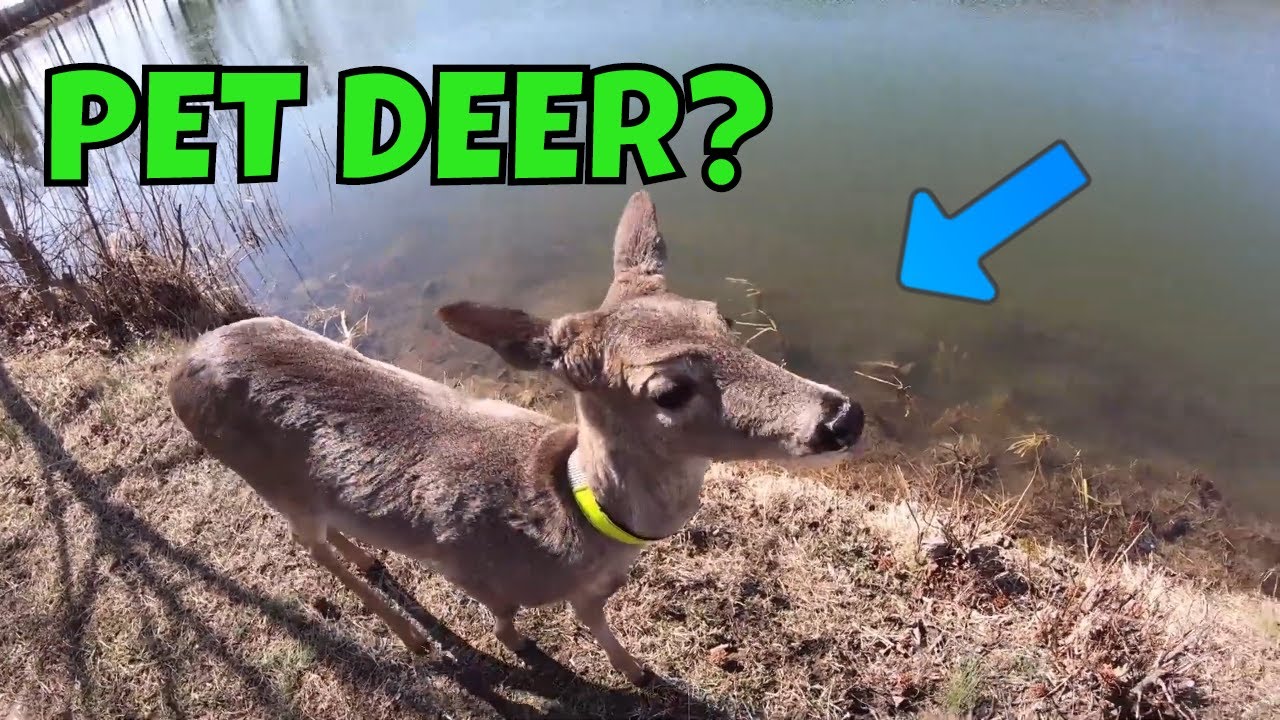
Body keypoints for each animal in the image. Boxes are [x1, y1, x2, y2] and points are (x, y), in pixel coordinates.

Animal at [166, 191, 864, 686]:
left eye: (722, 319)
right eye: (668, 391)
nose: (843, 417)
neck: (570, 514)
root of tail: (183, 364)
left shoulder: (592, 589)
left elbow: (595, 620)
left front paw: (638, 672)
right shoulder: (474, 571)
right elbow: (506, 622)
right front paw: (522, 645)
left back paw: (370, 558)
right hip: (266, 481)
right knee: (308, 547)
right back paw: (414, 638)